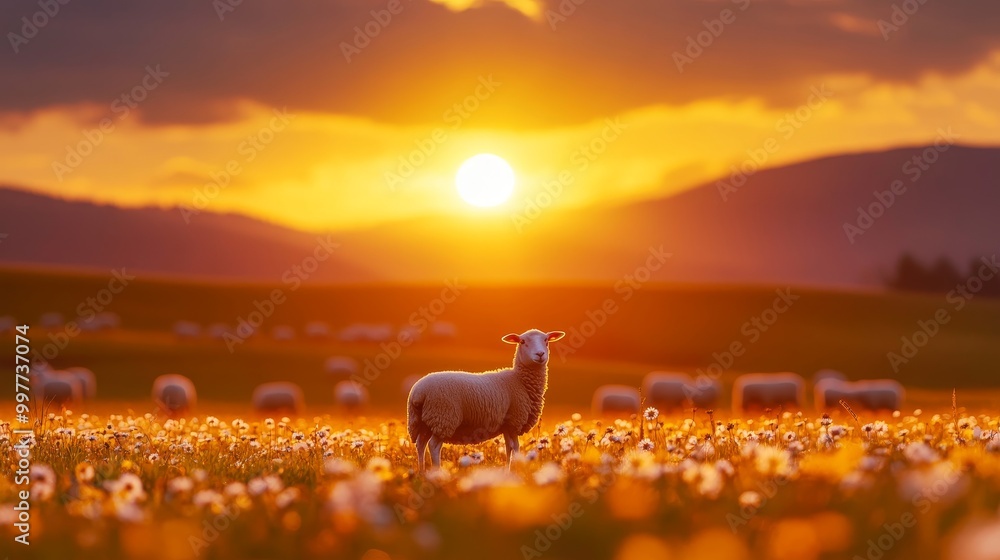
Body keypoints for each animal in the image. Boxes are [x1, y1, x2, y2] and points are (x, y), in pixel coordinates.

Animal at [407, 328, 566, 471]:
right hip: (443, 417)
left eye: (546, 340)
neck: (519, 380)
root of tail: (418, 392)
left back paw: (421, 472)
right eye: (522, 341)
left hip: (423, 421)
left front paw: (507, 471)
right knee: (433, 446)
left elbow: (509, 448)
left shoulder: (506, 425)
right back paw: (437, 473)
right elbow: (516, 447)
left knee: (420, 444)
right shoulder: (514, 421)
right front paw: (516, 470)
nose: (540, 354)